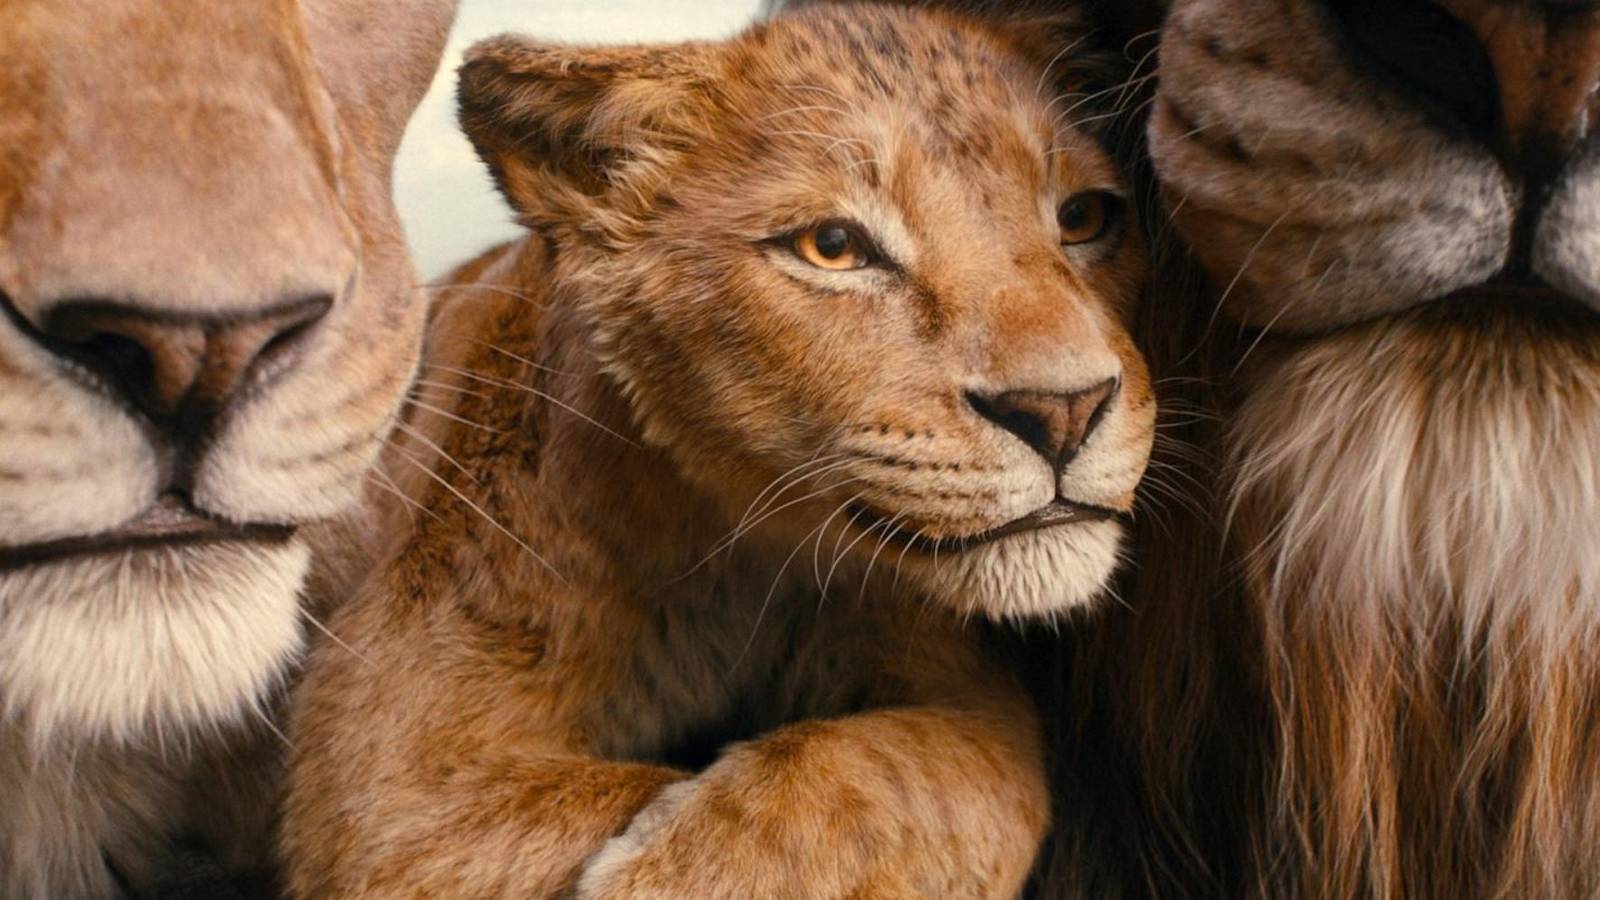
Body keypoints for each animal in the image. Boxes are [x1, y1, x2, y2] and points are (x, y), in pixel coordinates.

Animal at [279, 4, 1155, 898]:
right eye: (833, 245)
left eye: (1084, 218)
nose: (1064, 411)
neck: (738, 556)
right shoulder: (391, 769)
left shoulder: (963, 693)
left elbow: (923, 777)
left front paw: (686, 865)